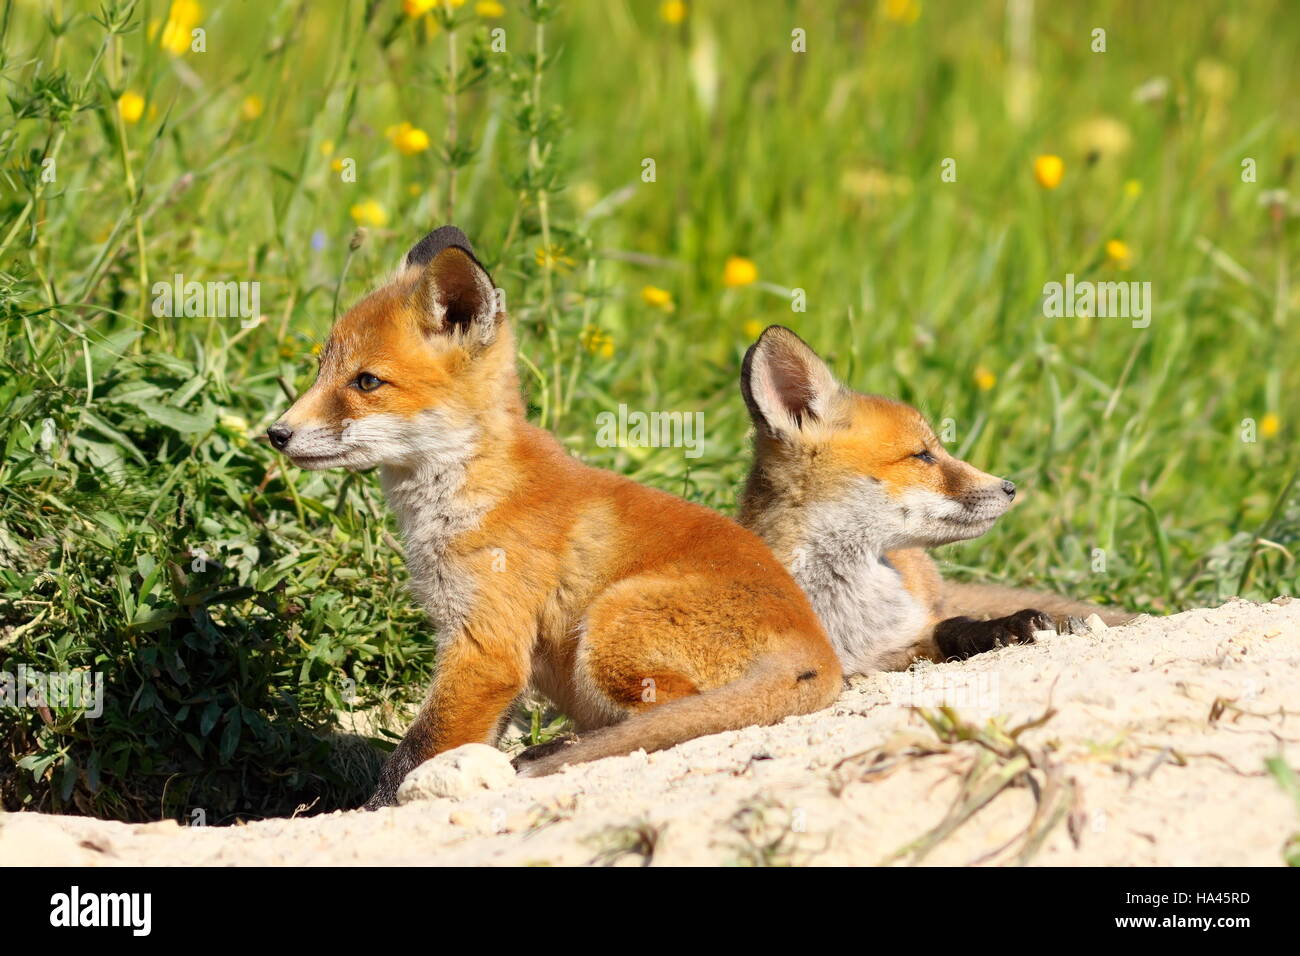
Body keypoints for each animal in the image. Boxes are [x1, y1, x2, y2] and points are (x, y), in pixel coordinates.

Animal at [268, 228, 842, 808]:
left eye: (366, 382)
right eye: (321, 370)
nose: (277, 433)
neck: (472, 492)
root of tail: (818, 645)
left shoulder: (486, 648)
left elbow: (415, 751)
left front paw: (382, 806)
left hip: (609, 626)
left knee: (672, 716)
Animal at [737, 325, 1134, 676]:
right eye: (923, 456)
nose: (1010, 488)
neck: (851, 619)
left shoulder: (915, 632)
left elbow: (951, 626)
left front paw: (1005, 626)